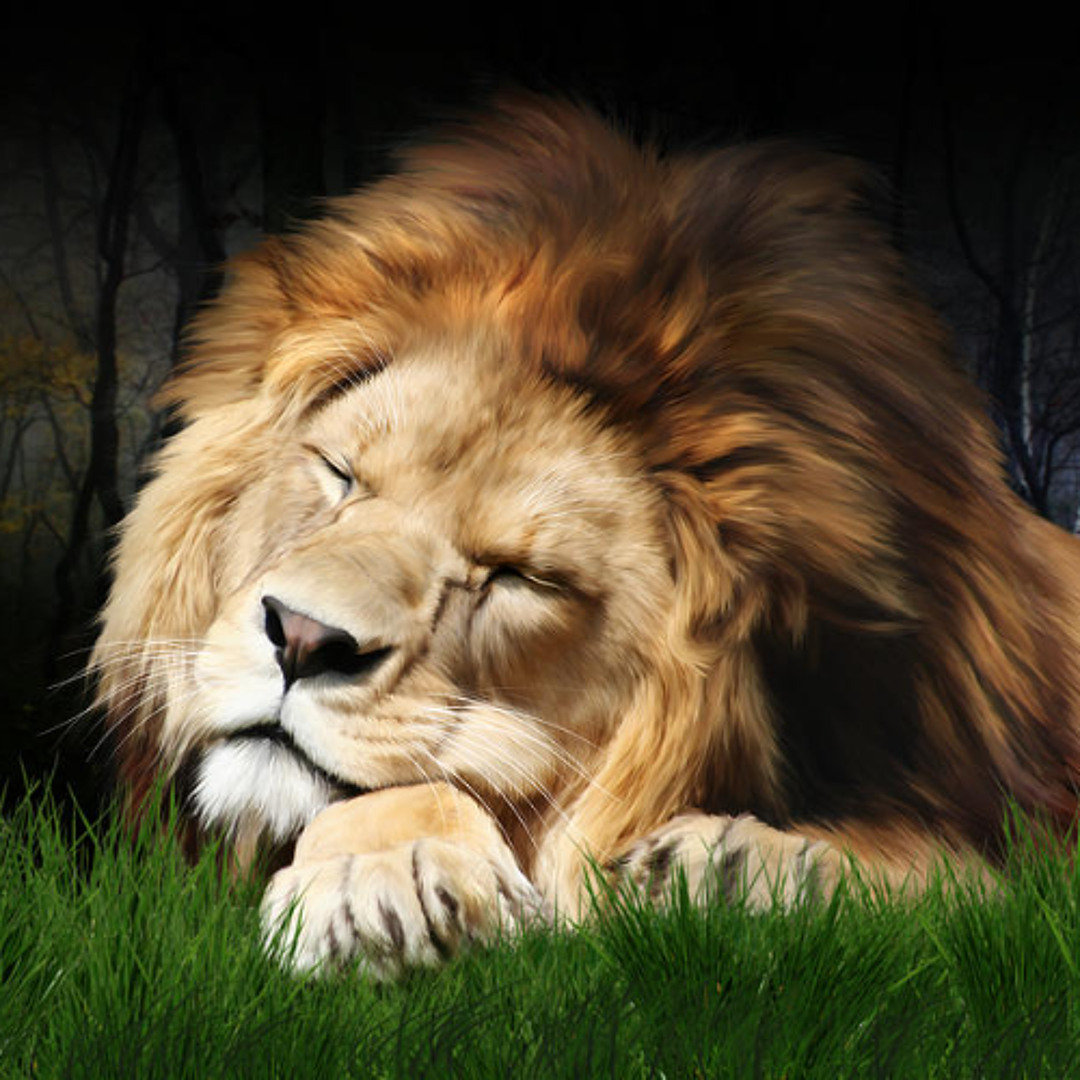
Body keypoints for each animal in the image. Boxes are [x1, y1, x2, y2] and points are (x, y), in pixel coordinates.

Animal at [94, 96, 1080, 976]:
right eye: (340, 475)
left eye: (518, 575)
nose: (302, 640)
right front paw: (387, 878)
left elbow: (972, 878)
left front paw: (747, 871)